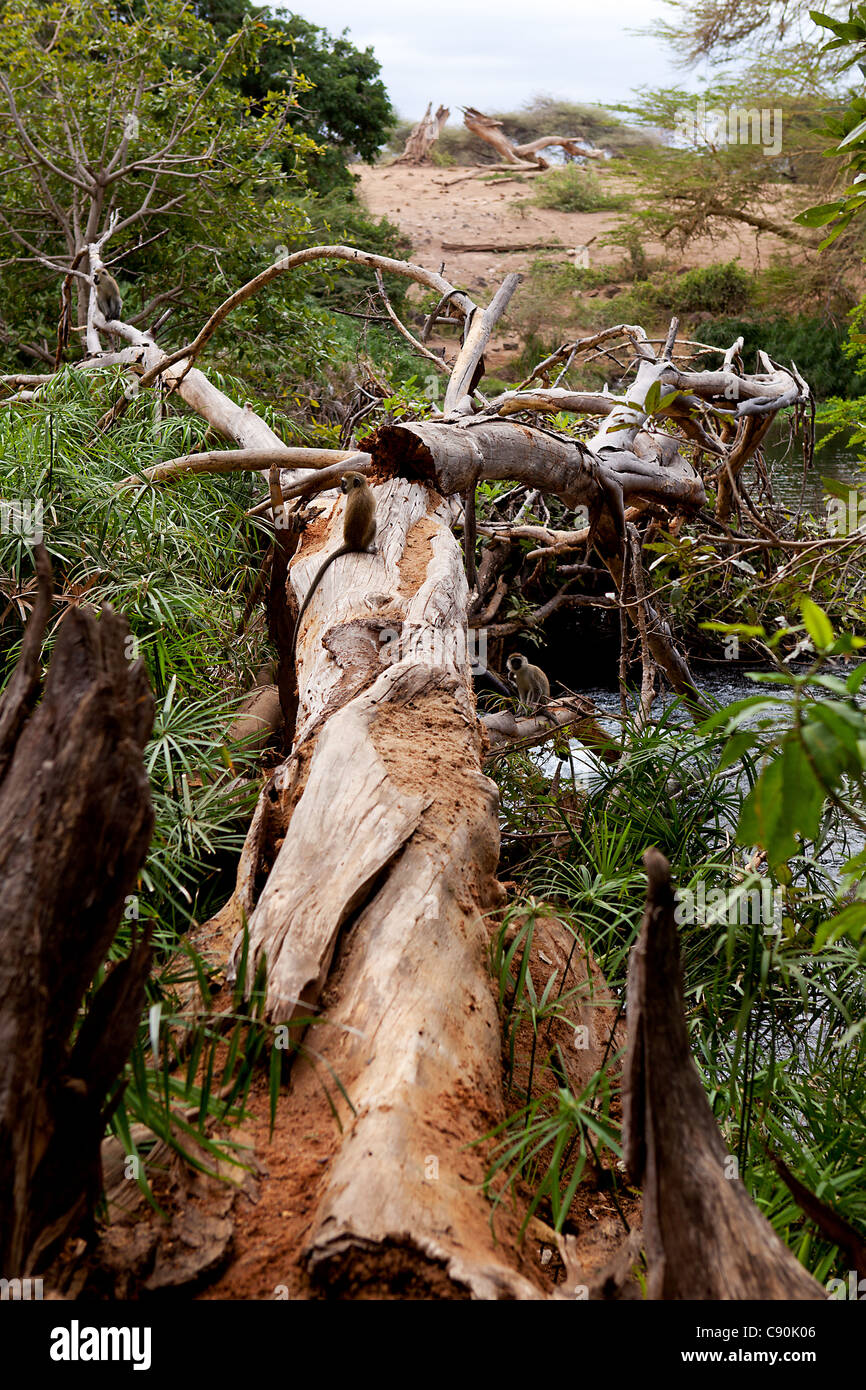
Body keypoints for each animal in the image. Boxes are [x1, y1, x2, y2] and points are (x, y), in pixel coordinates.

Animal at [289, 471, 376, 660]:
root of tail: (351, 543)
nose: (341, 488)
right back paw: (368, 549)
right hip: (364, 539)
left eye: (343, 483)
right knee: (374, 522)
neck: (361, 488)